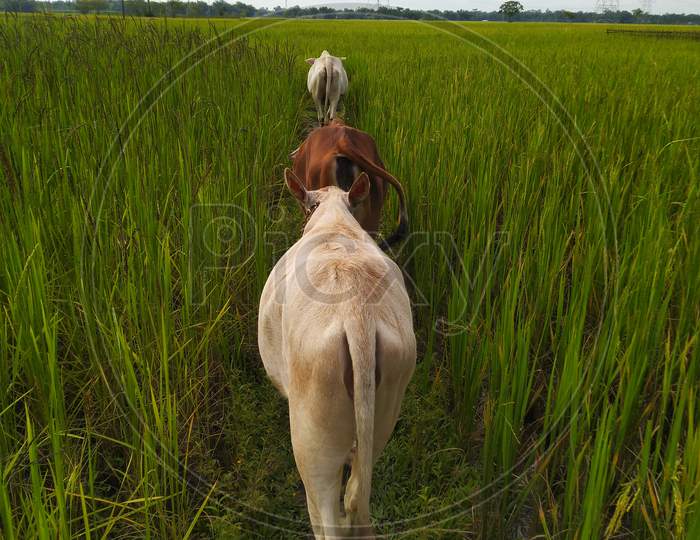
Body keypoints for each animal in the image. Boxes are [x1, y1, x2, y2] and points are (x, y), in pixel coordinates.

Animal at [258, 171, 416, 539]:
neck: (333, 219)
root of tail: (356, 311)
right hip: (385, 410)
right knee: (357, 492)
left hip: (312, 437)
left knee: (327, 509)